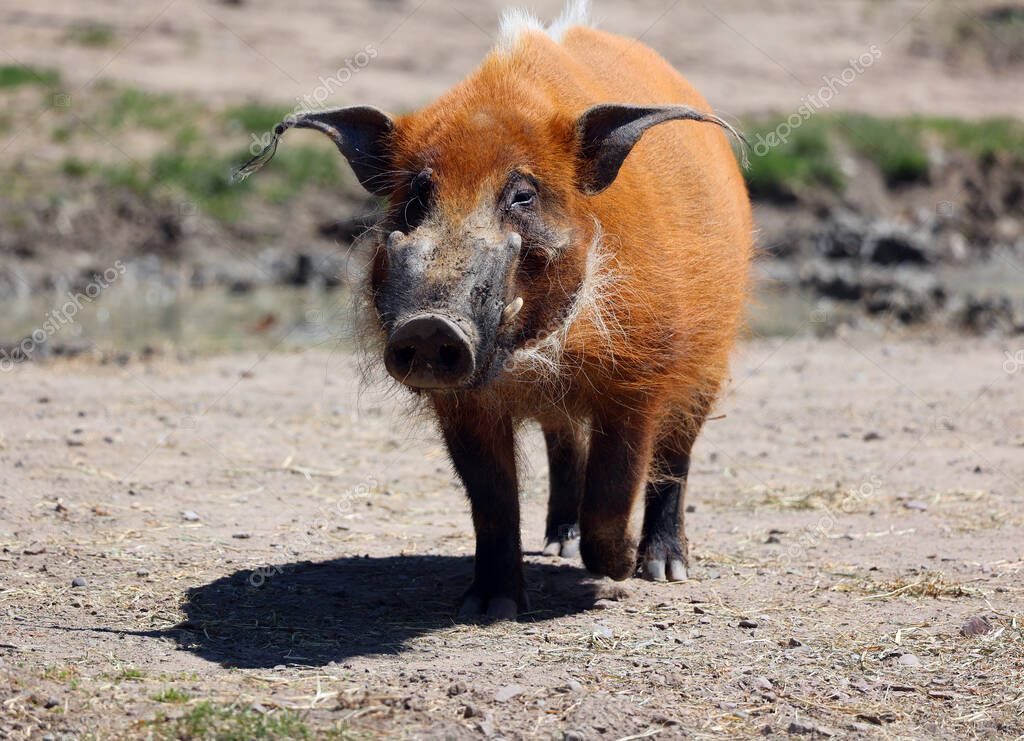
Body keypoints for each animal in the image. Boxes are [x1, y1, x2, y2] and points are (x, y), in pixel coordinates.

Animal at [235, 0, 752, 620]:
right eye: (416, 198)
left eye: (522, 196)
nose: (429, 325)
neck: (523, 360)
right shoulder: (462, 404)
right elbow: (492, 500)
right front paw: (489, 606)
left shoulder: (641, 378)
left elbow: (616, 486)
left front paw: (618, 569)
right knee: (564, 445)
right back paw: (556, 545)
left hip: (710, 361)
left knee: (676, 458)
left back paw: (663, 568)